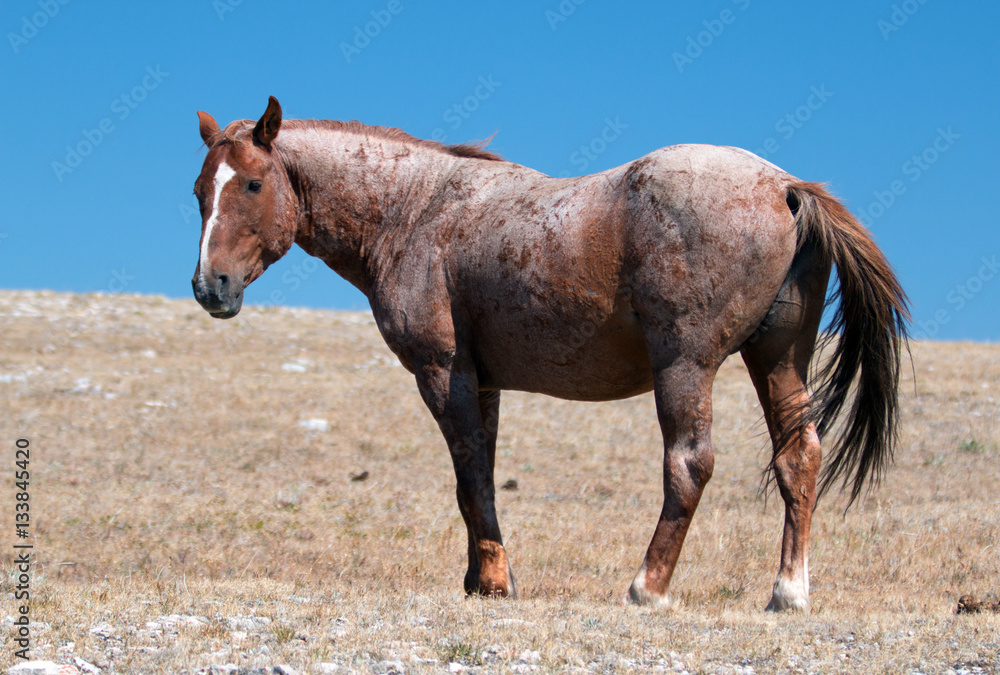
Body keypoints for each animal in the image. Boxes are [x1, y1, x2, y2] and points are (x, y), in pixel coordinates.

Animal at [190, 97, 909, 612]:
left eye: (251, 184)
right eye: (200, 190)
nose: (209, 286)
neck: (416, 210)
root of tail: (784, 185)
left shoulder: (443, 374)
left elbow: (470, 475)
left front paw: (492, 581)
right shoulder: (482, 382)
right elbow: (479, 476)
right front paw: (482, 575)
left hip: (686, 364)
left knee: (689, 463)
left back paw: (648, 585)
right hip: (777, 359)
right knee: (799, 458)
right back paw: (788, 591)